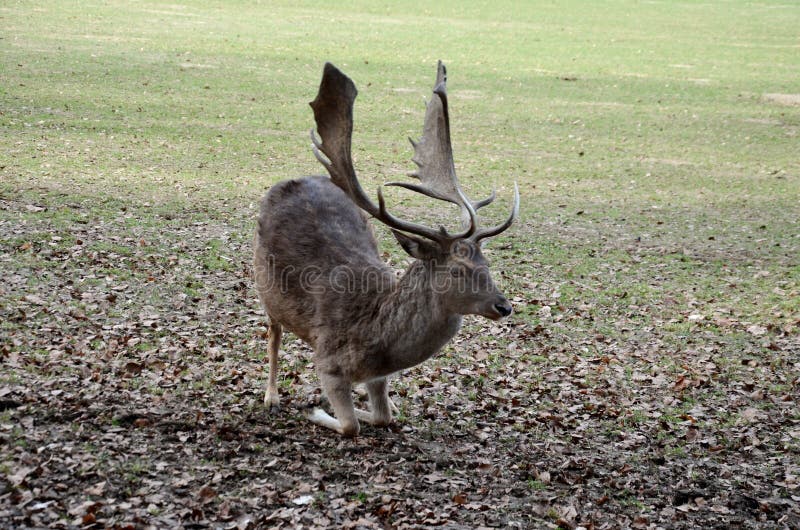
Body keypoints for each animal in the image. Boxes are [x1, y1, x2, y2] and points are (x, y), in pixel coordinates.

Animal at [253, 61, 519, 436]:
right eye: (457, 269)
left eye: (487, 263)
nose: (504, 306)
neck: (374, 342)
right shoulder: (327, 361)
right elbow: (350, 425)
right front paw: (317, 410)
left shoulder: (379, 376)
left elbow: (383, 417)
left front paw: (385, 407)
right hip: (264, 285)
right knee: (273, 333)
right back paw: (271, 396)